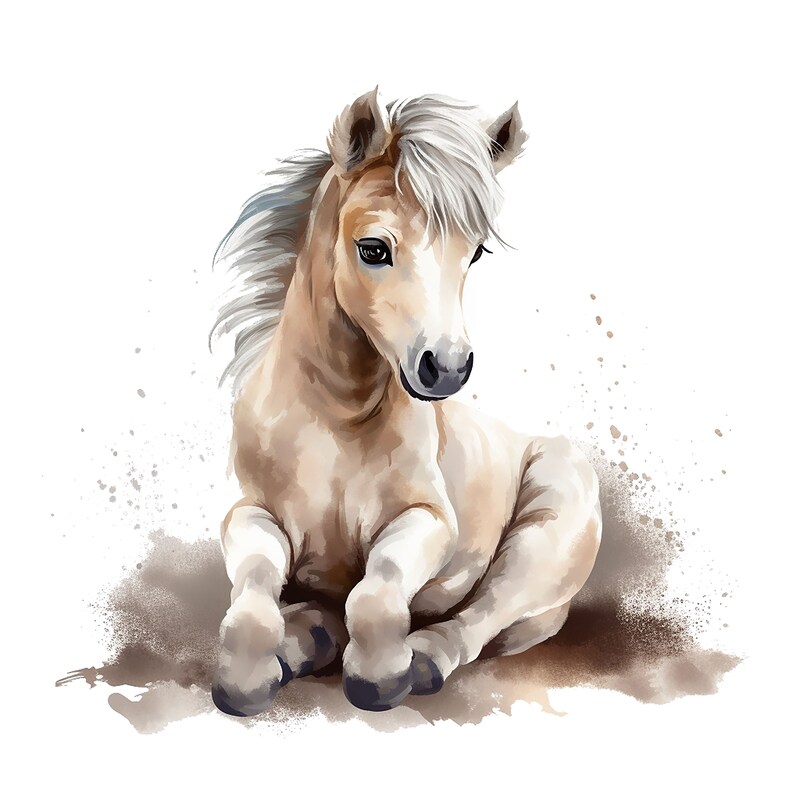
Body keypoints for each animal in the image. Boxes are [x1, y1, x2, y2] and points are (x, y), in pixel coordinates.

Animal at [210, 89, 602, 715]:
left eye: (475, 254)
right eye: (373, 249)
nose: (447, 368)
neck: (336, 422)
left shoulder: (429, 520)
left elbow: (377, 591)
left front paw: (381, 678)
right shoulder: (248, 513)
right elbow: (253, 586)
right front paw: (243, 681)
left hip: (546, 540)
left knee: (482, 615)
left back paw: (420, 660)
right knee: (324, 617)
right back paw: (301, 642)